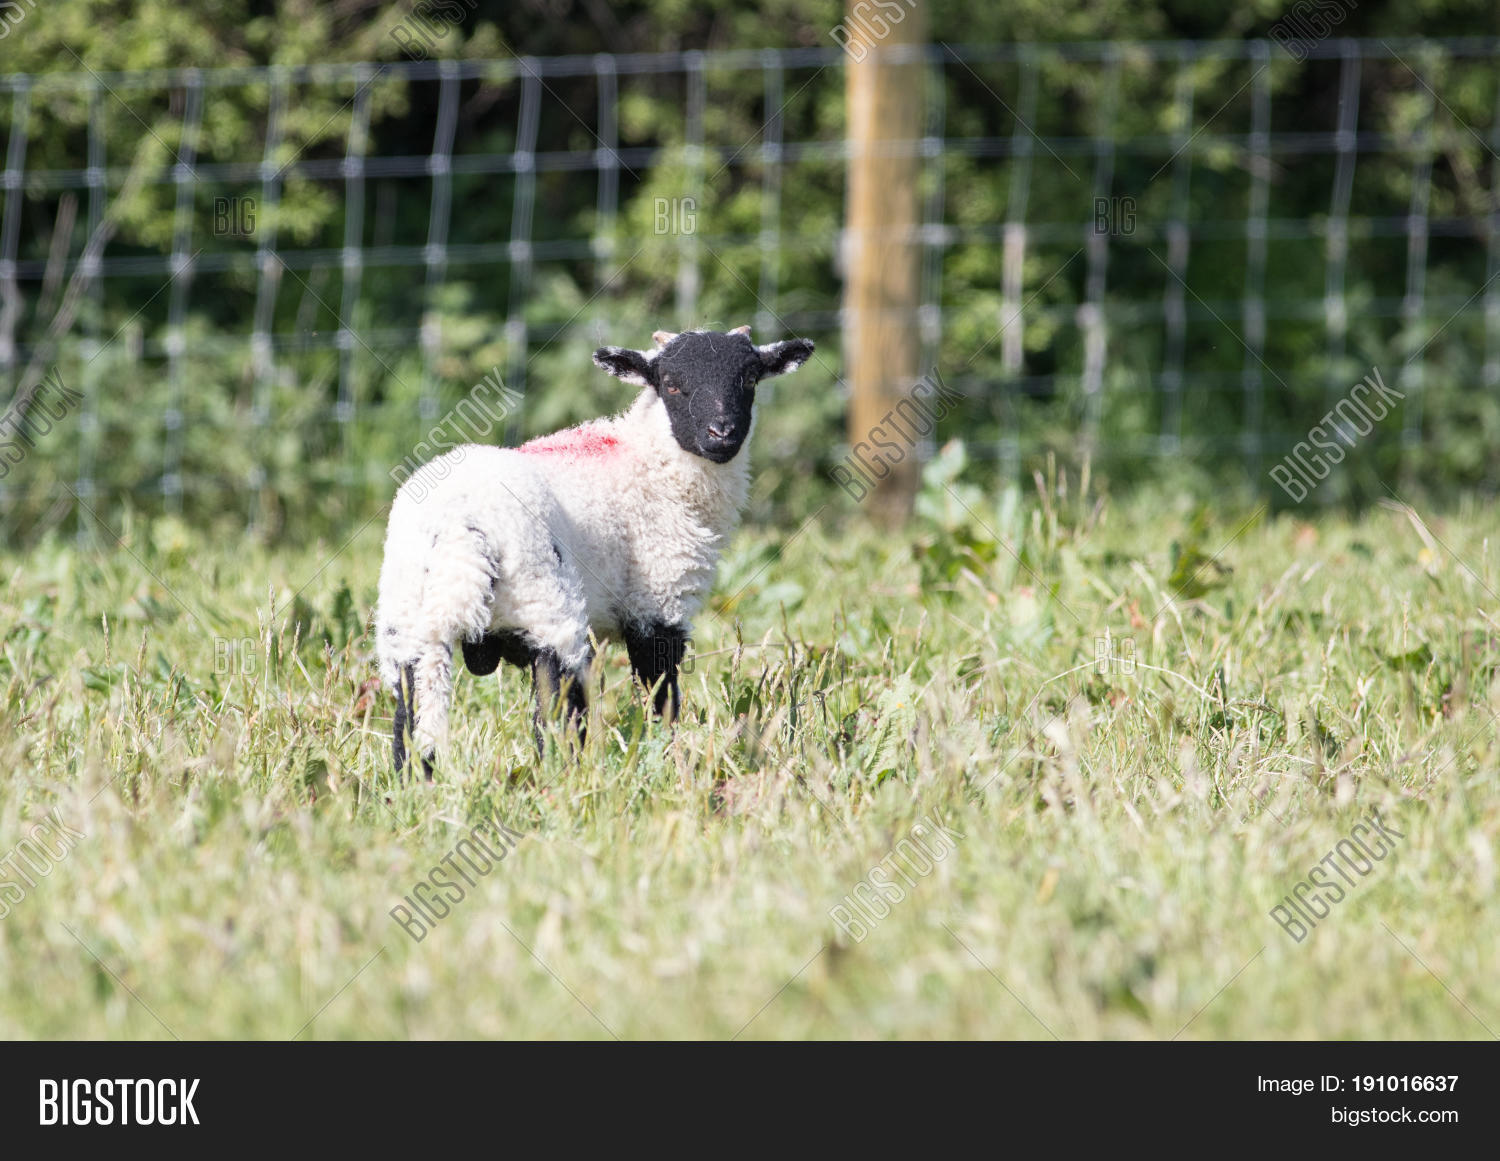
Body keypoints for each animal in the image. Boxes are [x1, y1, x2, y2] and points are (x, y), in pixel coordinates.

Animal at [375, 325, 816, 775]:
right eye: (671, 384)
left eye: (750, 380)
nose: (721, 433)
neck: (646, 461)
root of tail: (459, 527)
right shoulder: (658, 600)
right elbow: (660, 696)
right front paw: (666, 760)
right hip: (546, 606)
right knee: (554, 712)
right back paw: (561, 775)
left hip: (408, 620)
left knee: (410, 719)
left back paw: (414, 781)